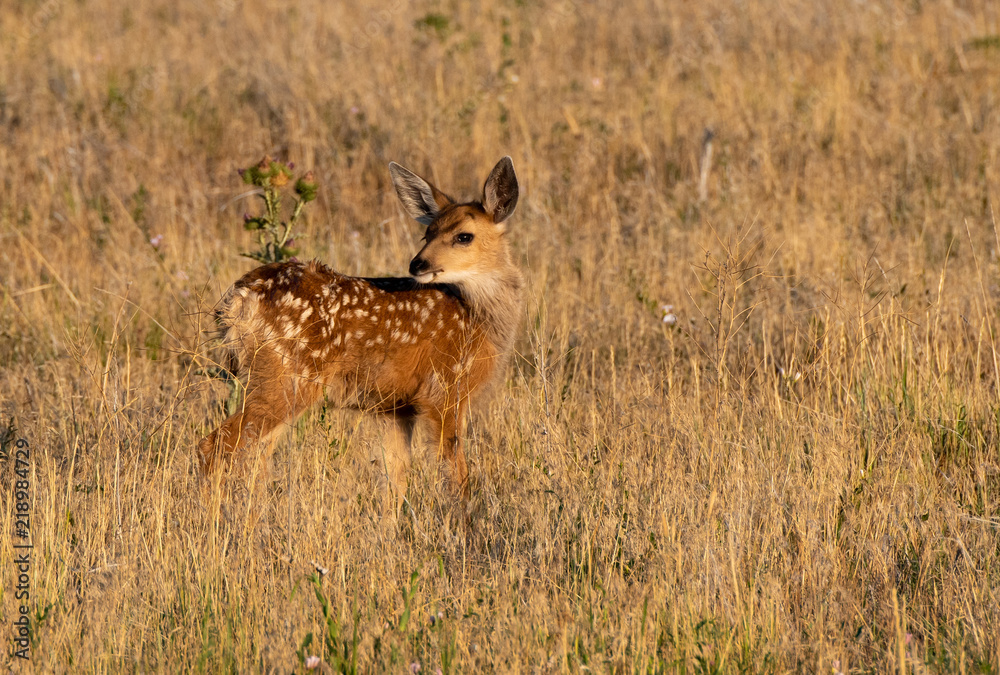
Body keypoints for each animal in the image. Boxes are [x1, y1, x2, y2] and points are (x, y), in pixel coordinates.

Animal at [198, 156, 523, 517]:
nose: (418, 263)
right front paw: (466, 523)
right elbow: (457, 476)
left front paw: (392, 527)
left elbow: (396, 480)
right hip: (288, 378)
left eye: (464, 236)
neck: (478, 317)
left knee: (256, 456)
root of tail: (239, 297)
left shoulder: (396, 408)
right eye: (427, 233)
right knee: (215, 444)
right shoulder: (444, 389)